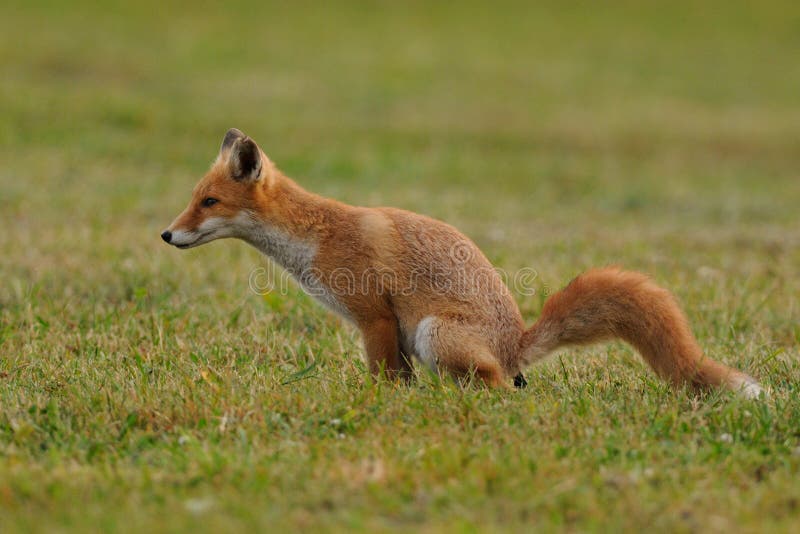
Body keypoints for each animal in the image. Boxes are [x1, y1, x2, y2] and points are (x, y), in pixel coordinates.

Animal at [162, 128, 764, 398]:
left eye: (209, 202)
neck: (314, 237)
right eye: (192, 199)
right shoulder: (386, 327)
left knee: (499, 387)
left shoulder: (377, 316)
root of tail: (516, 340)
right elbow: (397, 377)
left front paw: (382, 406)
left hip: (434, 332)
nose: (167, 234)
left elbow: (384, 377)